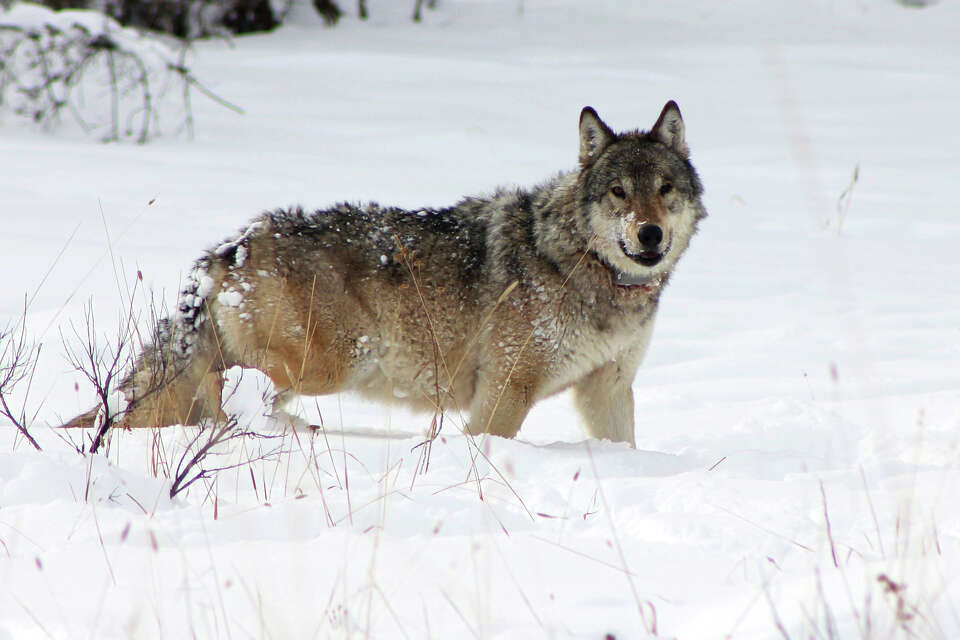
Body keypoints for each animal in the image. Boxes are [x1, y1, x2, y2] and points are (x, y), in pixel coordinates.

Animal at [66, 101, 706, 447]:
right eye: (618, 192)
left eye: (663, 189)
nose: (650, 235)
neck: (581, 265)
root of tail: (234, 247)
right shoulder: (507, 390)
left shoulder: (609, 390)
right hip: (334, 362)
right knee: (244, 399)